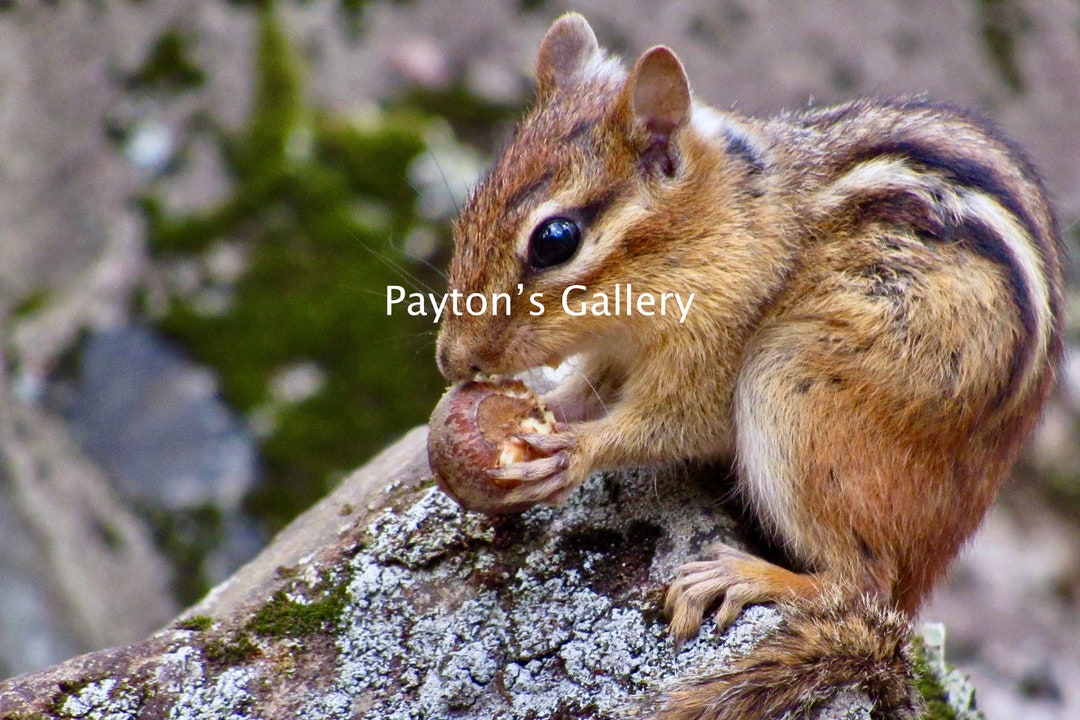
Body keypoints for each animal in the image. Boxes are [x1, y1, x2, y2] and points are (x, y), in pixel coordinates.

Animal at [434, 13, 1064, 720]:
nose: (451, 359)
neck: (724, 222)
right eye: (469, 211)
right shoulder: (613, 351)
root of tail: (911, 604)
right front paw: (532, 418)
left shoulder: (719, 342)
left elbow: (675, 422)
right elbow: (586, 389)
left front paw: (574, 449)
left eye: (555, 240)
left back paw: (744, 575)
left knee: (859, 582)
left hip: (790, 381)